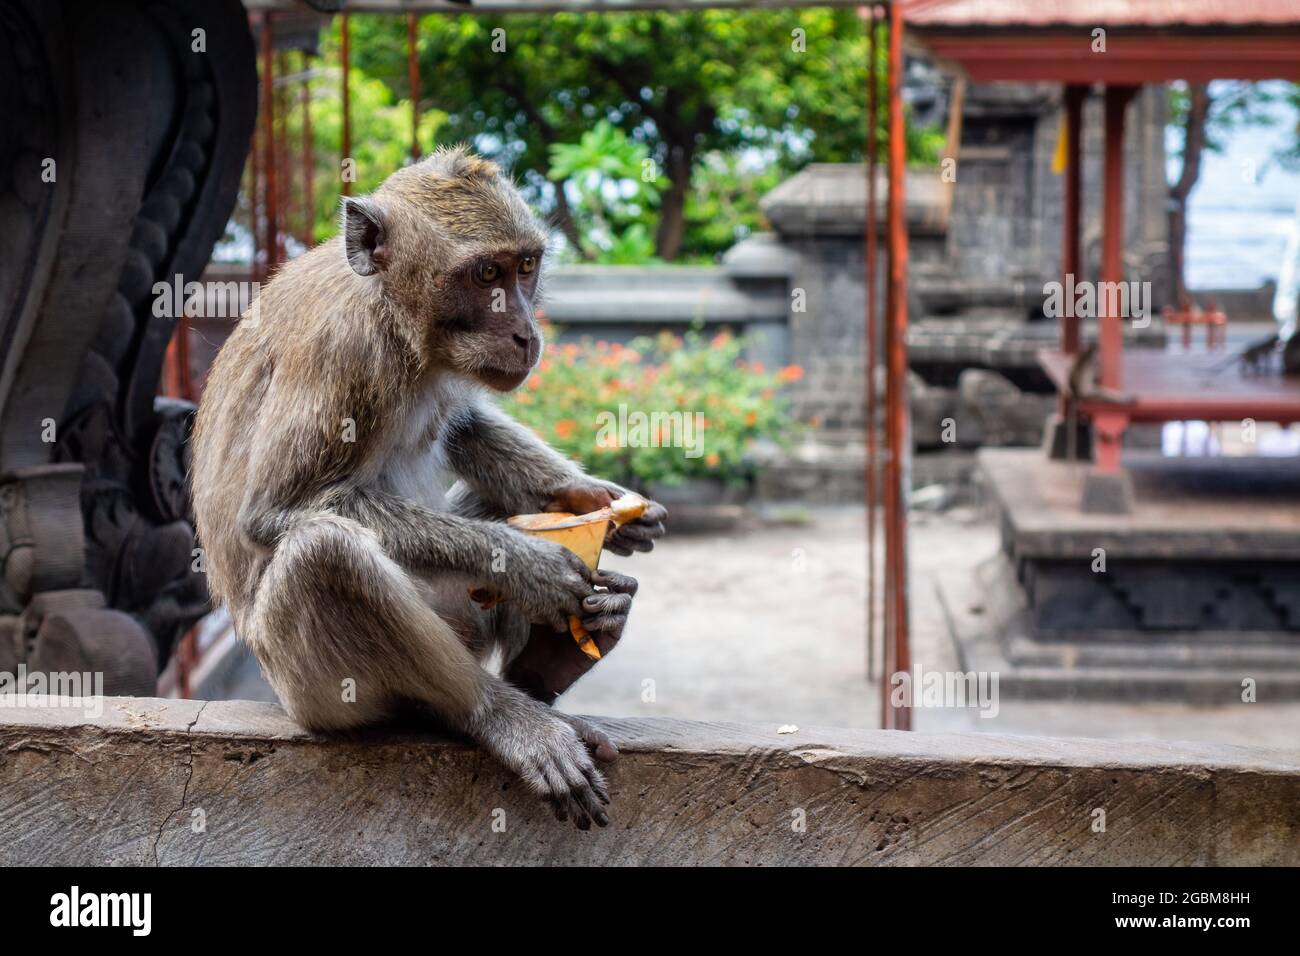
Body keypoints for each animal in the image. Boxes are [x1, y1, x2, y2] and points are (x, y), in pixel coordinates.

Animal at [191, 146, 668, 830]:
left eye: (525, 267)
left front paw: (593, 497)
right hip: (308, 689)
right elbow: (276, 509)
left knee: (500, 502)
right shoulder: (341, 351)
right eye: (486, 273)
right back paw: (499, 715)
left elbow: (464, 426)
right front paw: (529, 565)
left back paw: (546, 667)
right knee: (324, 553)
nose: (526, 332)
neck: (394, 315)